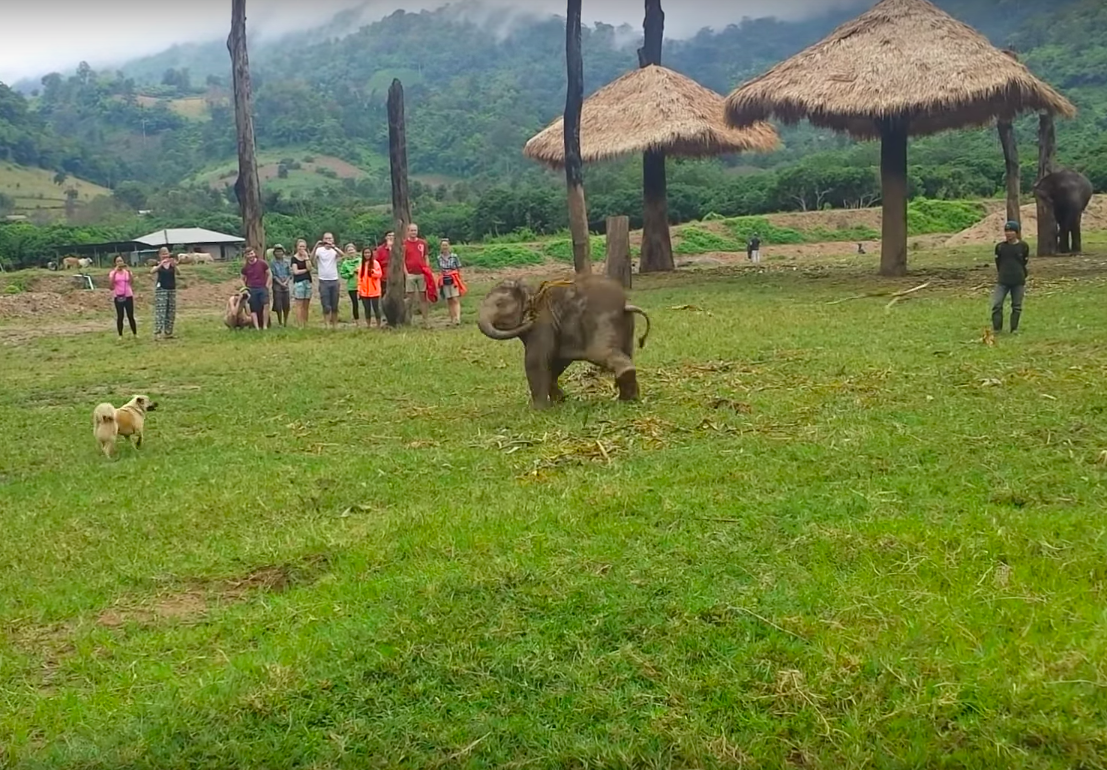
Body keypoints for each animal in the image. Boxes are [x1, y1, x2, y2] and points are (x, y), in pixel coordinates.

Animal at [477, 274, 651, 409]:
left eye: (499, 304)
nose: (529, 319)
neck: (532, 289)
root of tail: (625, 305)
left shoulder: (543, 323)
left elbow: (535, 360)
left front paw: (539, 410)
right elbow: (555, 362)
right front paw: (560, 401)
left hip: (601, 324)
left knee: (604, 354)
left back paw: (625, 400)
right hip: (626, 328)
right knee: (627, 354)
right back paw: (633, 398)